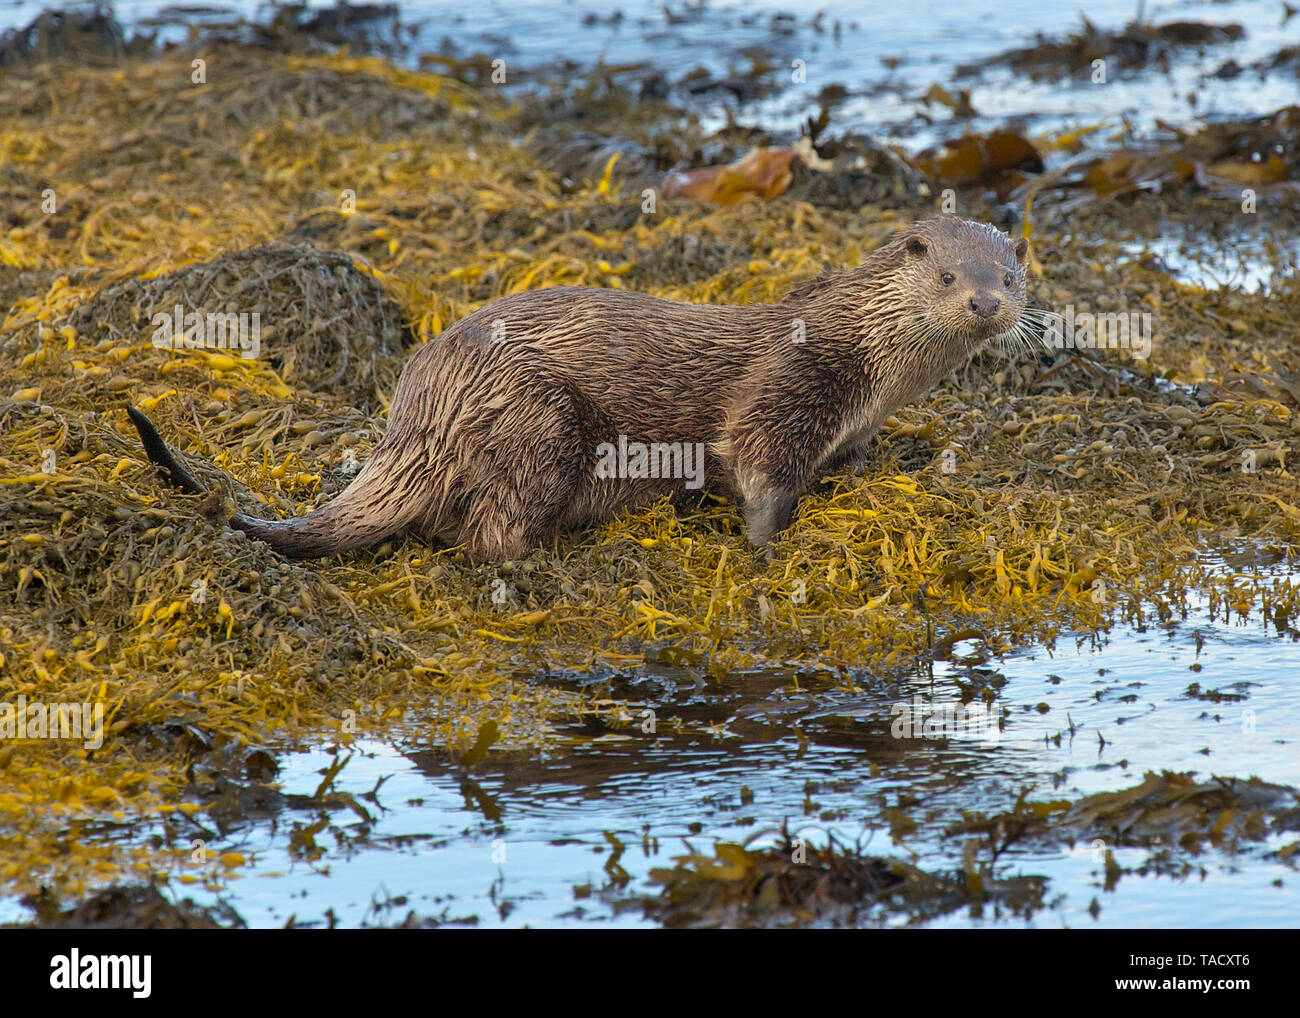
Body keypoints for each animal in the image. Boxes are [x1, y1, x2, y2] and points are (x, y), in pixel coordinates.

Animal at [130, 216, 1031, 563]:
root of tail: (421, 409)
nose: (987, 303)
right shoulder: (788, 391)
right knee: (487, 532)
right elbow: (759, 473)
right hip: (538, 420)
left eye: (1012, 275)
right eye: (949, 276)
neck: (868, 364)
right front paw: (770, 549)